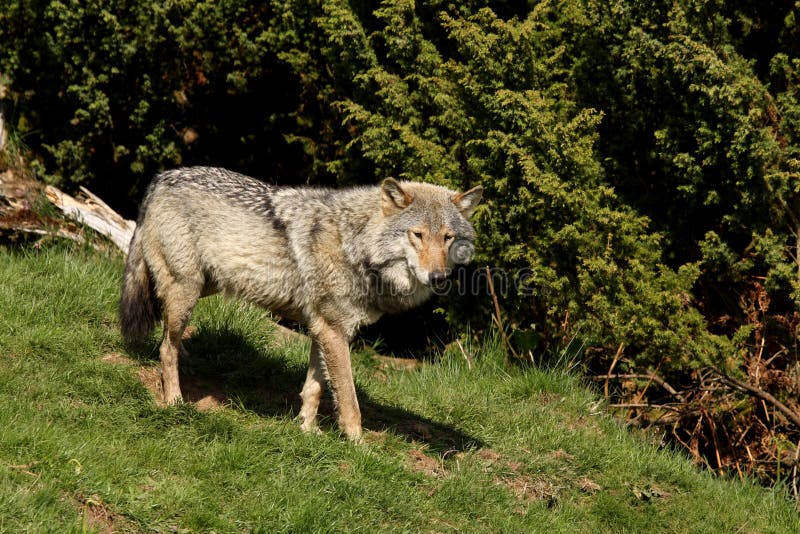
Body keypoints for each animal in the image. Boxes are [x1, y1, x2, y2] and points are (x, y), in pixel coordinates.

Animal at [120, 166, 482, 441]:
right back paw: (174, 400)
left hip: (202, 287)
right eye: (417, 235)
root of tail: (162, 177)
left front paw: (307, 432)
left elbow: (315, 389)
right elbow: (349, 402)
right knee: (166, 347)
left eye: (447, 237)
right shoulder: (335, 332)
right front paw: (359, 448)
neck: (355, 245)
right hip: (187, 288)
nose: (437, 277)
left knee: (169, 337)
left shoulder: (325, 329)